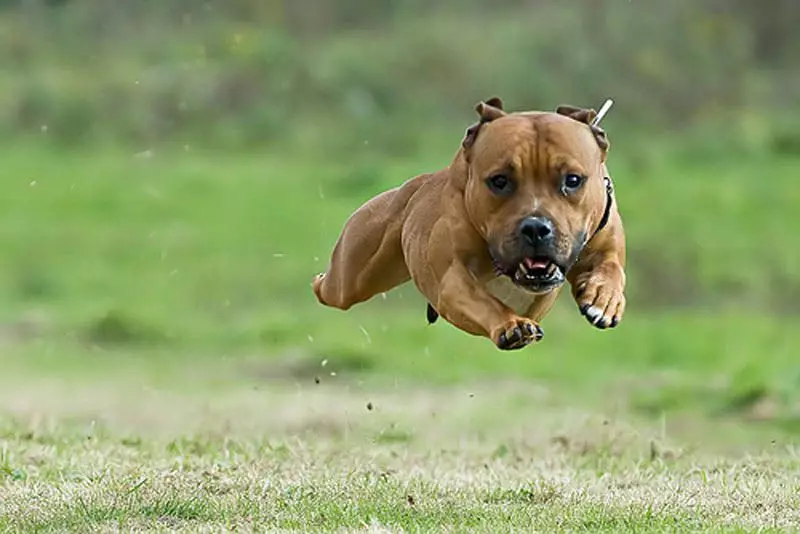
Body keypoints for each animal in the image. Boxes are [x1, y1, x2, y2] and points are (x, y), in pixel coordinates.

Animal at [310, 99, 624, 352]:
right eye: (499, 181)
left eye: (572, 180)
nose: (536, 227)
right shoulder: (453, 279)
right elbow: (483, 301)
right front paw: (512, 324)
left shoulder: (603, 244)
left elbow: (610, 267)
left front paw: (604, 299)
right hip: (351, 277)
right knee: (331, 288)